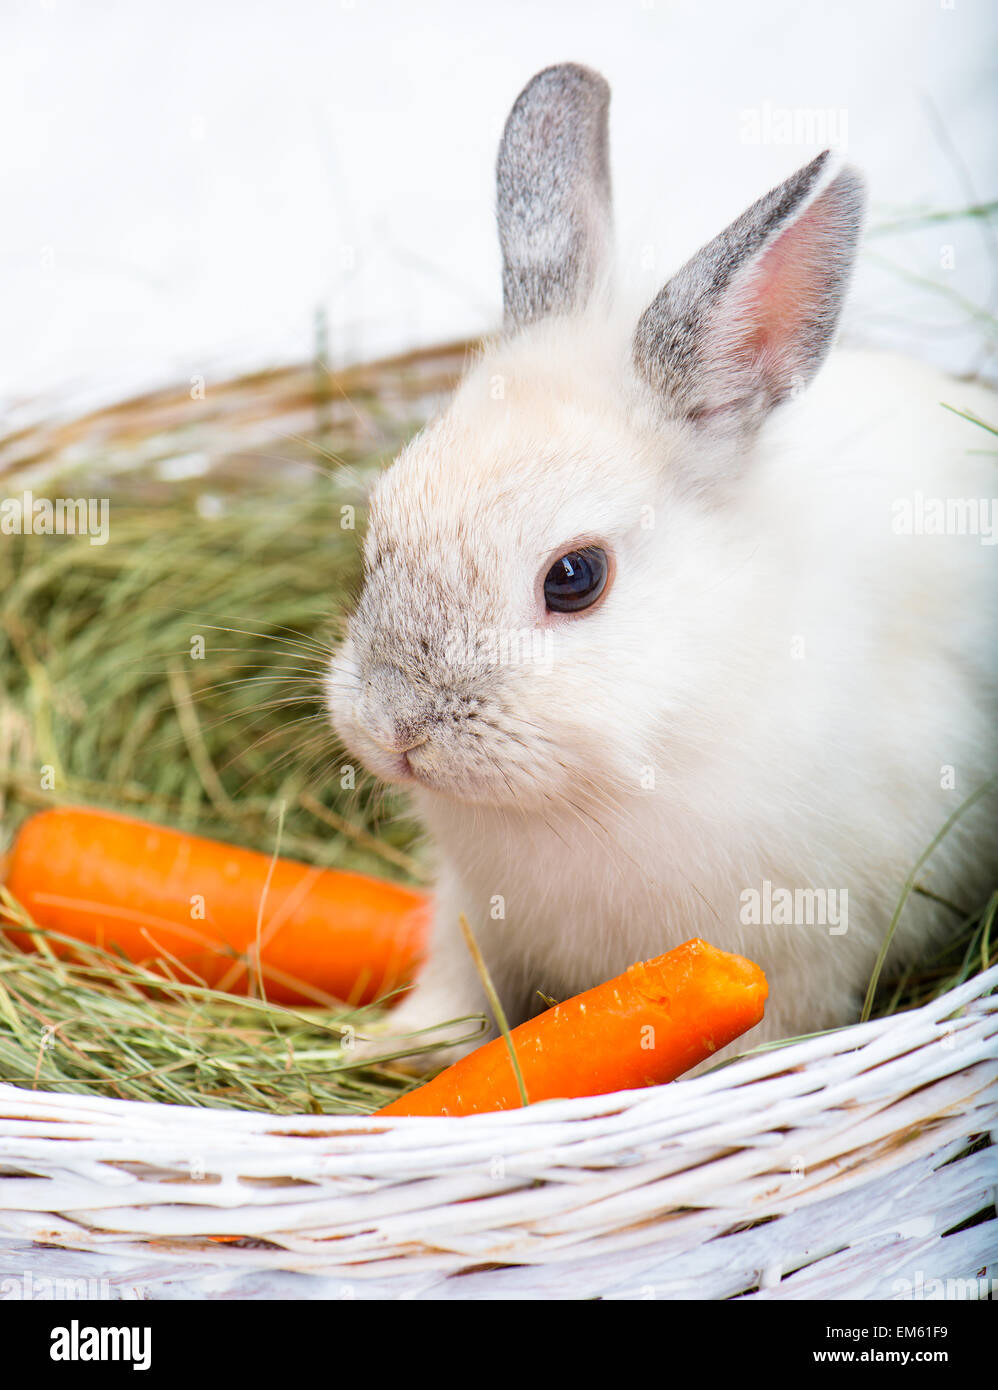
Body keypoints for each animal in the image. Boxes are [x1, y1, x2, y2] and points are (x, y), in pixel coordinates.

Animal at [327, 63, 998, 1067]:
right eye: (380, 526)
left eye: (575, 578)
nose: (396, 729)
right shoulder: (469, 911)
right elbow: (455, 984)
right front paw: (388, 1047)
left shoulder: (804, 948)